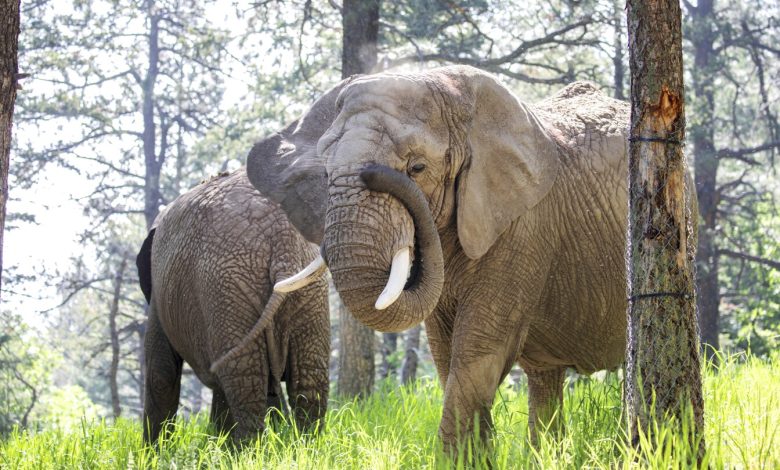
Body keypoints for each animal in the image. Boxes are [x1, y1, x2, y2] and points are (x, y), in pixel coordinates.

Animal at [135, 168, 330, 444]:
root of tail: (282, 242)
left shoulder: (159, 296)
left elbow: (161, 373)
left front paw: (153, 452)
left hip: (226, 288)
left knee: (244, 380)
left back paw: (247, 450)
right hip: (307, 292)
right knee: (308, 381)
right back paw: (305, 446)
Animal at [244, 65, 696, 449]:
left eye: (417, 167)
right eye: (324, 174)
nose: (375, 172)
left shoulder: (523, 227)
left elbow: (479, 348)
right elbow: (445, 353)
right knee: (544, 378)